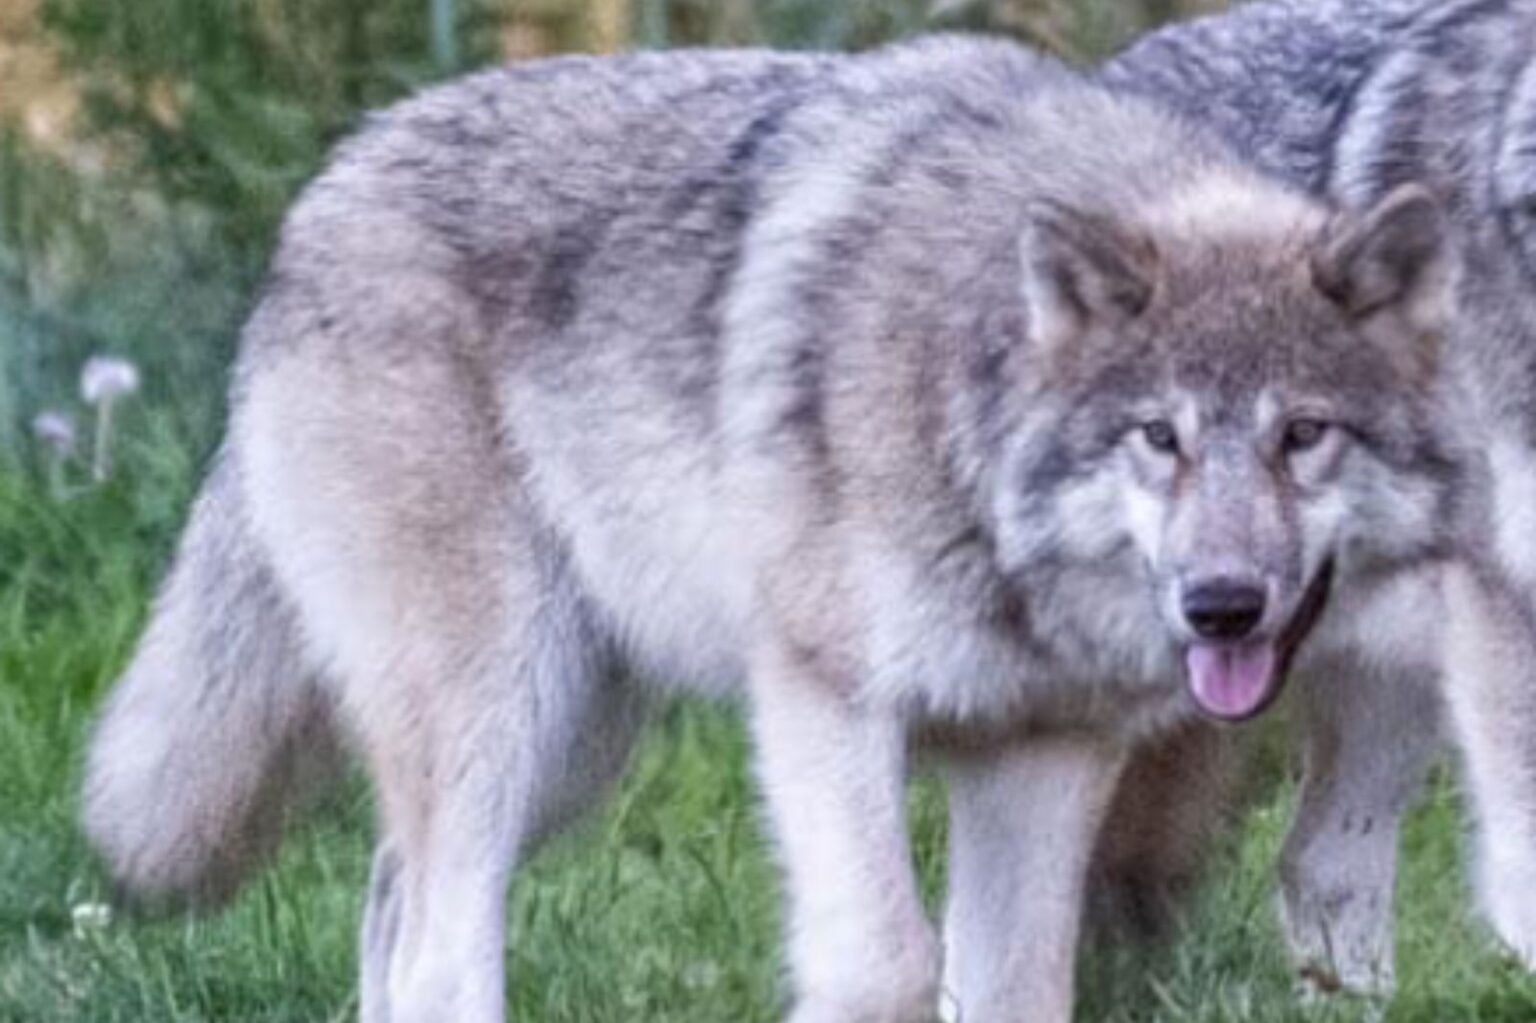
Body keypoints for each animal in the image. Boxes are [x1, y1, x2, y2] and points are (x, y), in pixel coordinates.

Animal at [81, 35, 1458, 1023]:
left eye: (1304, 435)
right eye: (1158, 438)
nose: (1222, 604)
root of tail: (329, 183)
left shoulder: (1039, 751)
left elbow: (1017, 987)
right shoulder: (818, 704)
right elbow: (886, 963)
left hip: (569, 743)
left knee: (386, 895)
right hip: (497, 708)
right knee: (435, 953)